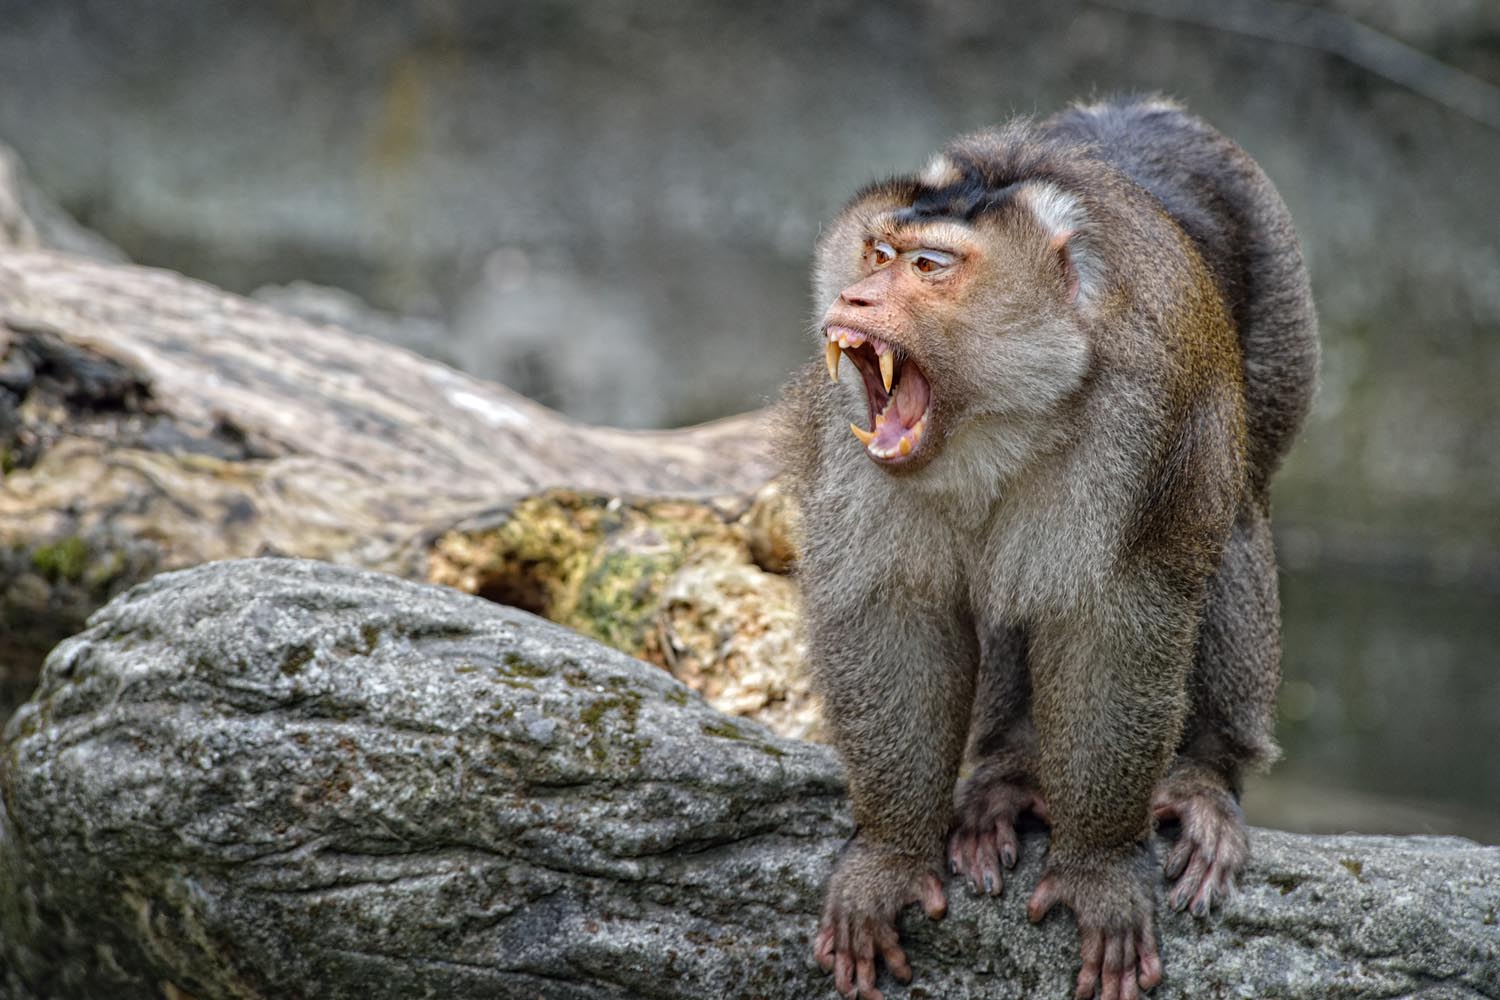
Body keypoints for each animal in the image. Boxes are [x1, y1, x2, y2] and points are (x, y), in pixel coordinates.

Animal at [783, 96, 1317, 1000]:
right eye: (877, 253)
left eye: (929, 266)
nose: (854, 296)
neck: (1001, 410)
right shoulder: (843, 429)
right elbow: (895, 610)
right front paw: (889, 856)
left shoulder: (1139, 416)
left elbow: (1111, 626)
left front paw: (1096, 866)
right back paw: (1011, 774)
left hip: (1282, 311)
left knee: (1233, 519)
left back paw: (1205, 778)